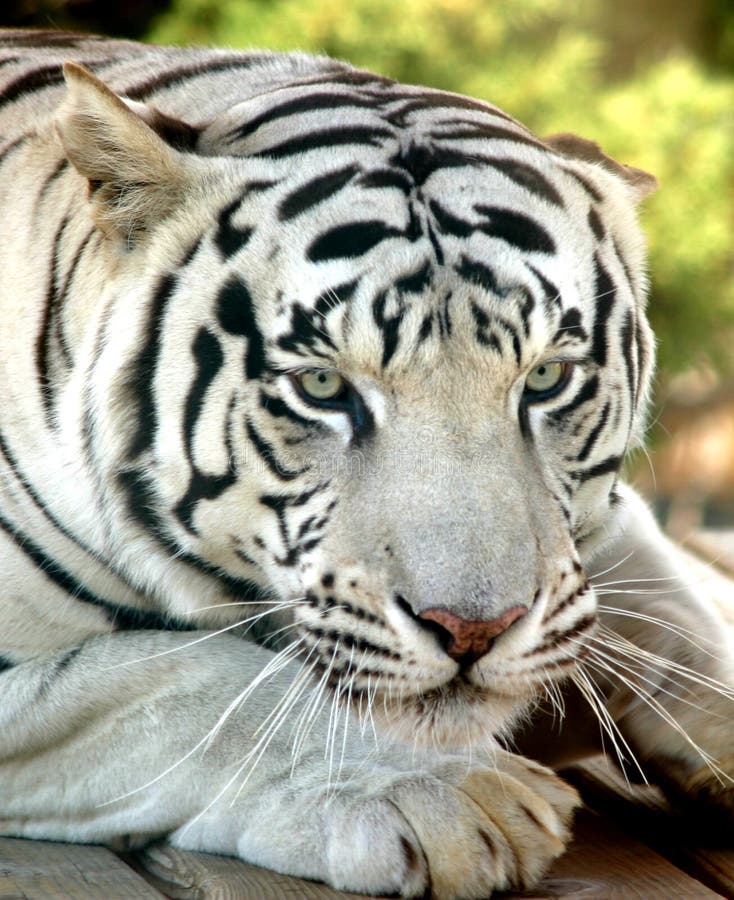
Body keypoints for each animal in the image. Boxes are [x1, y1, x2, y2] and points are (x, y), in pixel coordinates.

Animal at [0, 27, 732, 900]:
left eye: (547, 378)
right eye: (322, 386)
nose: (473, 631)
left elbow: (677, 614)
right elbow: (178, 682)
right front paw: (447, 793)